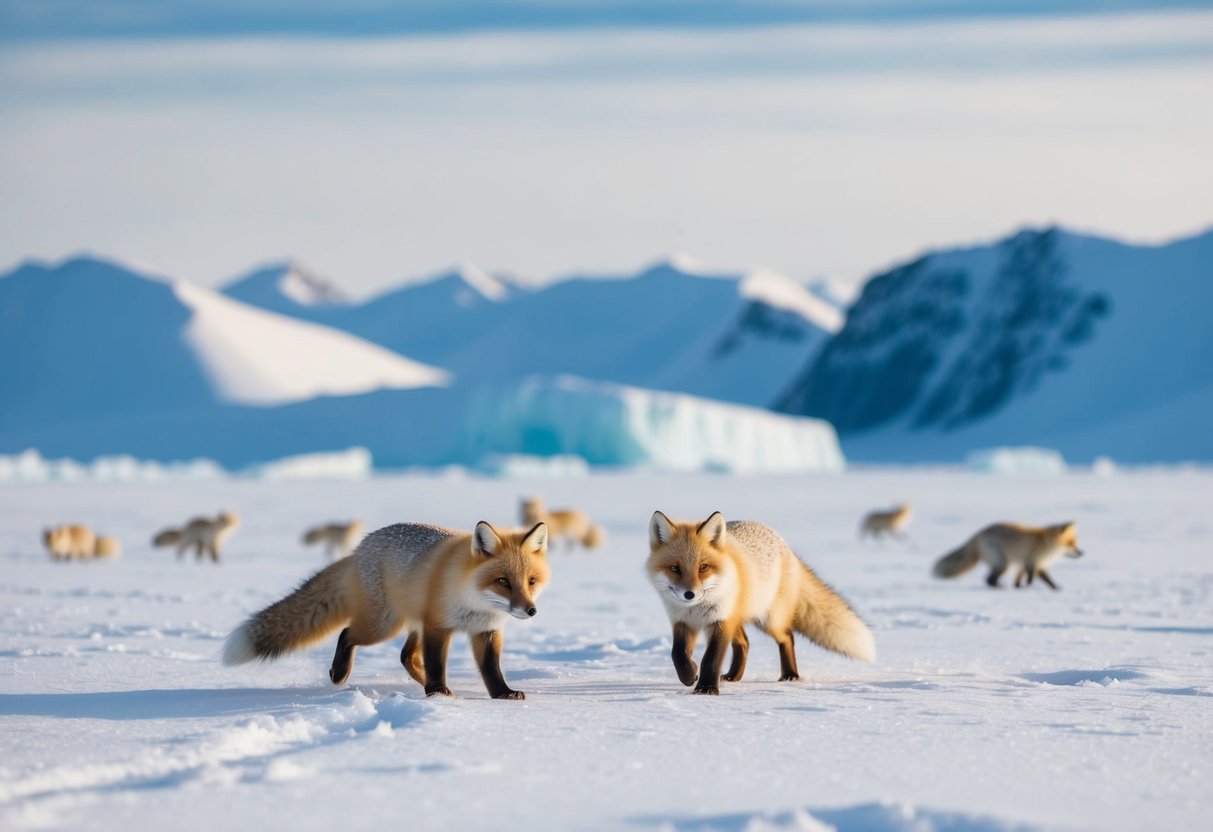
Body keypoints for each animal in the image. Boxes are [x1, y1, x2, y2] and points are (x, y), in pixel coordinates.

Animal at [224, 520, 550, 700]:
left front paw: (502, 694)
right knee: (347, 633)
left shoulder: (486, 630)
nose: (531, 610)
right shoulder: (437, 625)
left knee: (406, 656)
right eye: (503, 582)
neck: (473, 600)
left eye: (531, 581)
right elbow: (436, 663)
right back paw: (339, 672)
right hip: (383, 625)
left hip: (408, 624)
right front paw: (437, 691)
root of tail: (360, 548)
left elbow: (491, 669)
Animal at [646, 511, 875, 695]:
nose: (689, 594)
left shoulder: (721, 621)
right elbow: (678, 654)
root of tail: (786, 547)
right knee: (744, 642)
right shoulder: (683, 622)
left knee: (787, 637)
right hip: (740, 617)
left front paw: (706, 689)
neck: (696, 610)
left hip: (769, 620)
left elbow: (711, 659)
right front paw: (690, 675)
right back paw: (733, 676)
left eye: (703, 567)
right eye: (675, 568)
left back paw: (790, 675)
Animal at [933, 522, 1083, 589]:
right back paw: (998, 586)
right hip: (1003, 563)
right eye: (1070, 544)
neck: (1045, 542)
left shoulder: (1028, 563)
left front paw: (1056, 588)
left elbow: (1044, 579)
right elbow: (1033, 578)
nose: (1082, 553)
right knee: (988, 579)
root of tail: (977, 535)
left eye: (1075, 543)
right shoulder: (1031, 561)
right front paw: (1028, 587)